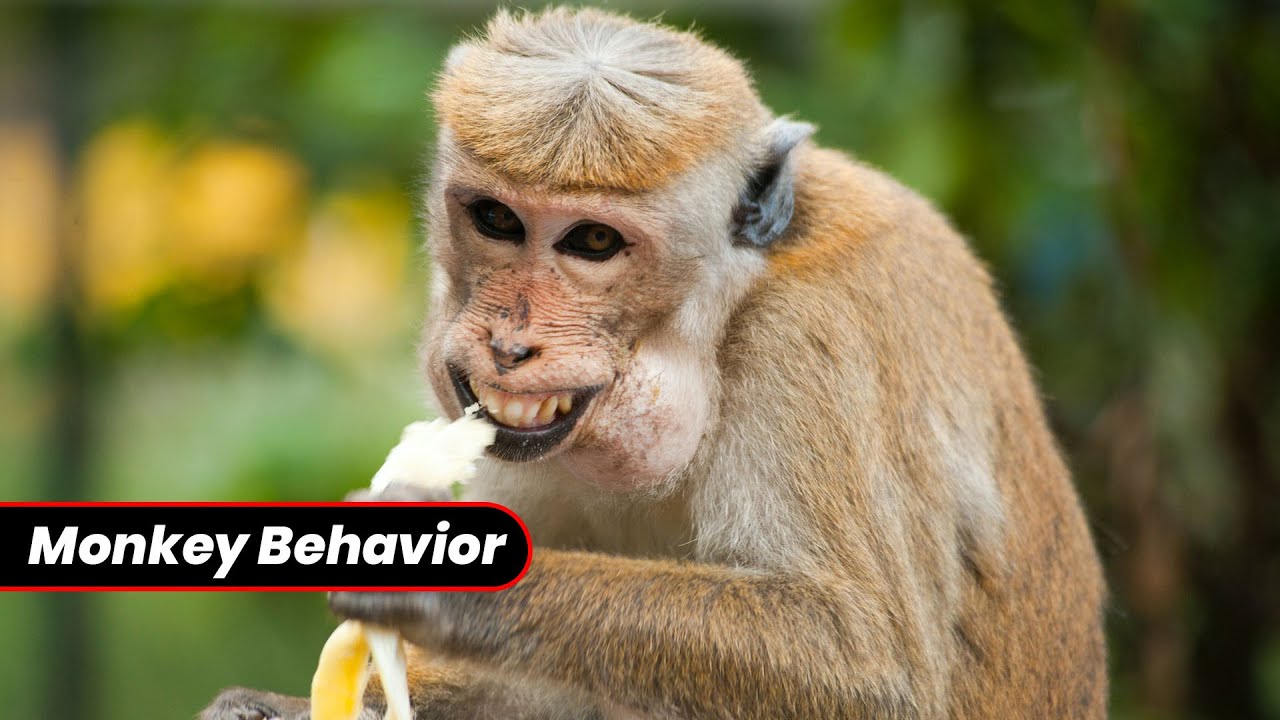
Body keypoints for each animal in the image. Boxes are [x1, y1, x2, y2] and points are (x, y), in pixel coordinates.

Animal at [203, 7, 1106, 719]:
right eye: (496, 220)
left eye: (594, 242)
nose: (509, 344)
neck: (723, 312)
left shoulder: (811, 344)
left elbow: (868, 667)